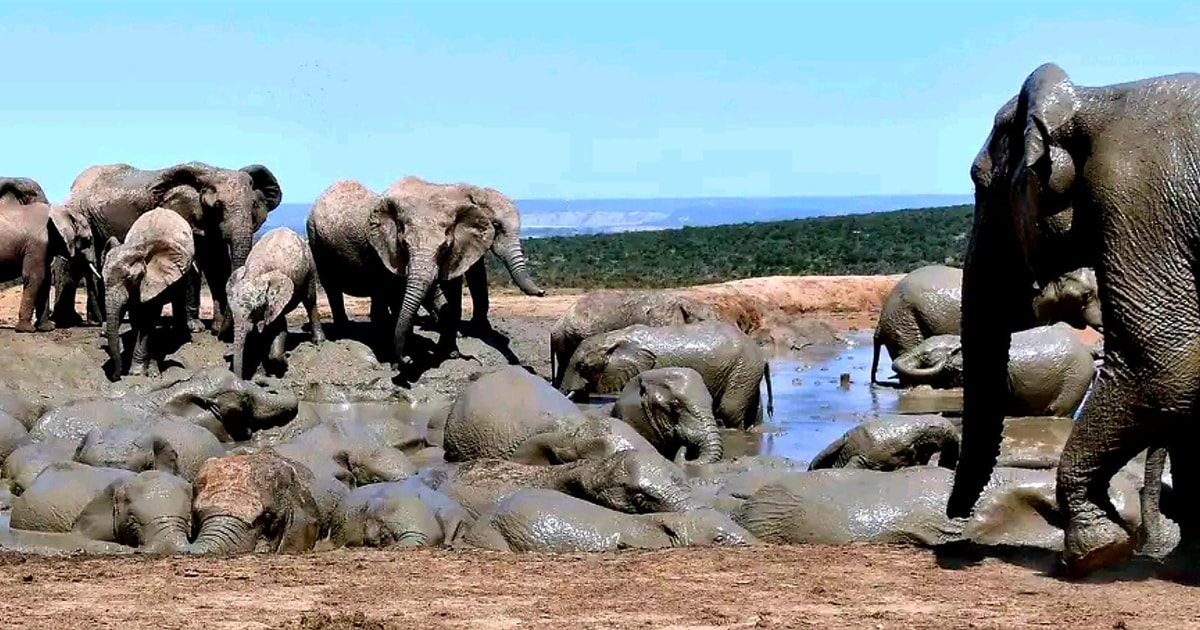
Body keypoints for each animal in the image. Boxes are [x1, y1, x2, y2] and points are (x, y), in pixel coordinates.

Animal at [49, 162, 282, 336]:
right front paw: (195, 328)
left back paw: (96, 321)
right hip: (80, 212)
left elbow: (217, 265)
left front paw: (216, 329)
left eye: (253, 207)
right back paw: (71, 321)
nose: (221, 332)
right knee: (73, 263)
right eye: (218, 207)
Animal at [100, 208, 195, 380]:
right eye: (103, 278)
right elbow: (136, 315)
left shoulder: (155, 278)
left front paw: (139, 373)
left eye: (130, 278)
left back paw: (179, 337)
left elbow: (148, 319)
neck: (138, 247)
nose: (115, 376)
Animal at [226, 227, 324, 379]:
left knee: (310, 300)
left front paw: (282, 362)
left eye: (255, 309)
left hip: (310, 265)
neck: (254, 273)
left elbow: (279, 325)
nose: (239, 379)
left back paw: (318, 342)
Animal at [559, 321, 774, 430]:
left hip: (742, 367)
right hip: (746, 370)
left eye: (581, 366)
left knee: (729, 410)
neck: (614, 337)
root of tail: (761, 355)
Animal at [944, 64, 1200, 580]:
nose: (953, 527)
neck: (1092, 100)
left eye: (980, 185)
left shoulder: (1139, 197)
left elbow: (1163, 363)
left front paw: (1095, 552)